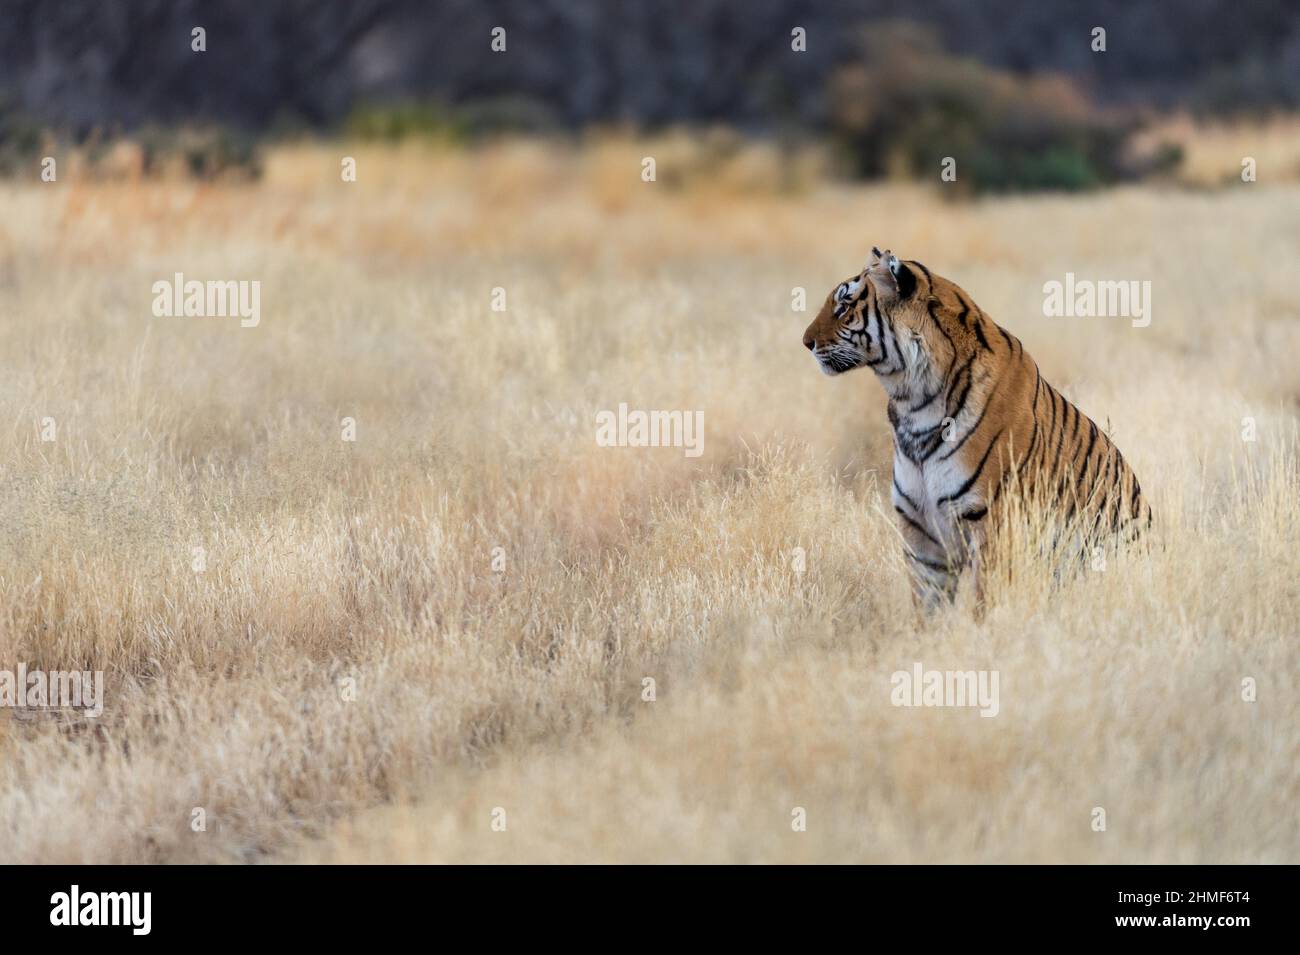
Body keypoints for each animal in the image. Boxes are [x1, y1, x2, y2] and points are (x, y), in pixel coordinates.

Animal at [801, 248, 1151, 610]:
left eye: (844, 306)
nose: (806, 342)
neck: (911, 401)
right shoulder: (919, 527)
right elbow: (928, 606)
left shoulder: (991, 520)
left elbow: (987, 601)